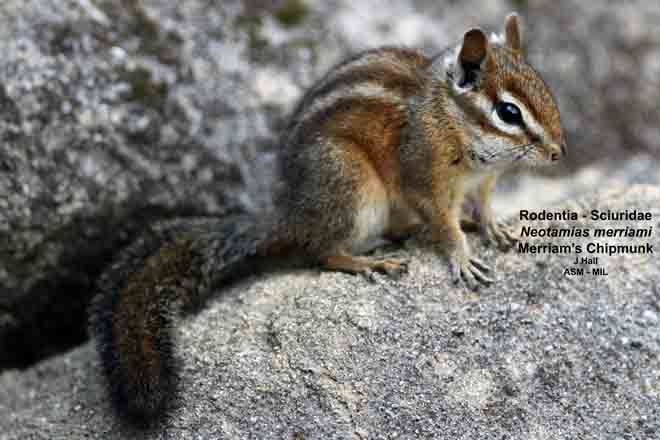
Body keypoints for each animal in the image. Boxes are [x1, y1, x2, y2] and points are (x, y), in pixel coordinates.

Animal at [89, 13, 566, 426]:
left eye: (545, 89)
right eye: (509, 112)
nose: (559, 152)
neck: (450, 118)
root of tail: (291, 213)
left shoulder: (483, 182)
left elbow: (482, 206)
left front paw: (494, 228)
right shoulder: (423, 178)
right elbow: (442, 222)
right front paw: (462, 256)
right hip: (354, 190)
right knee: (323, 252)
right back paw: (368, 261)